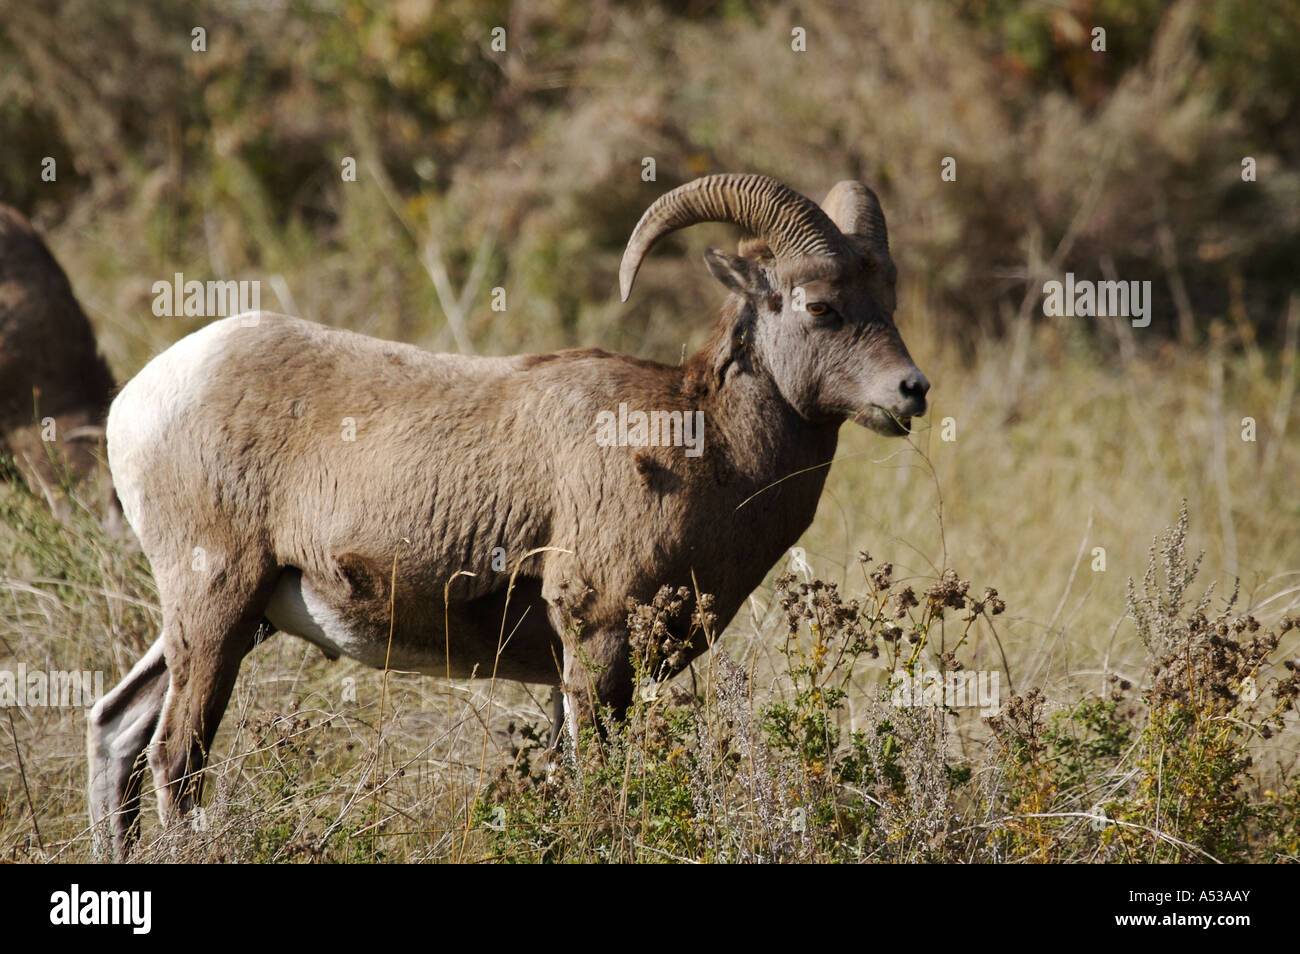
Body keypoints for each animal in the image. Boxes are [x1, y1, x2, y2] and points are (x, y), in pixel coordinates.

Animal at [87, 173, 930, 858]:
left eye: (889, 301)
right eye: (821, 306)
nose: (911, 391)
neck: (703, 441)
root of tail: (141, 399)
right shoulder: (598, 638)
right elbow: (596, 787)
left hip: (227, 619)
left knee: (115, 729)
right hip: (216, 604)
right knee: (174, 758)